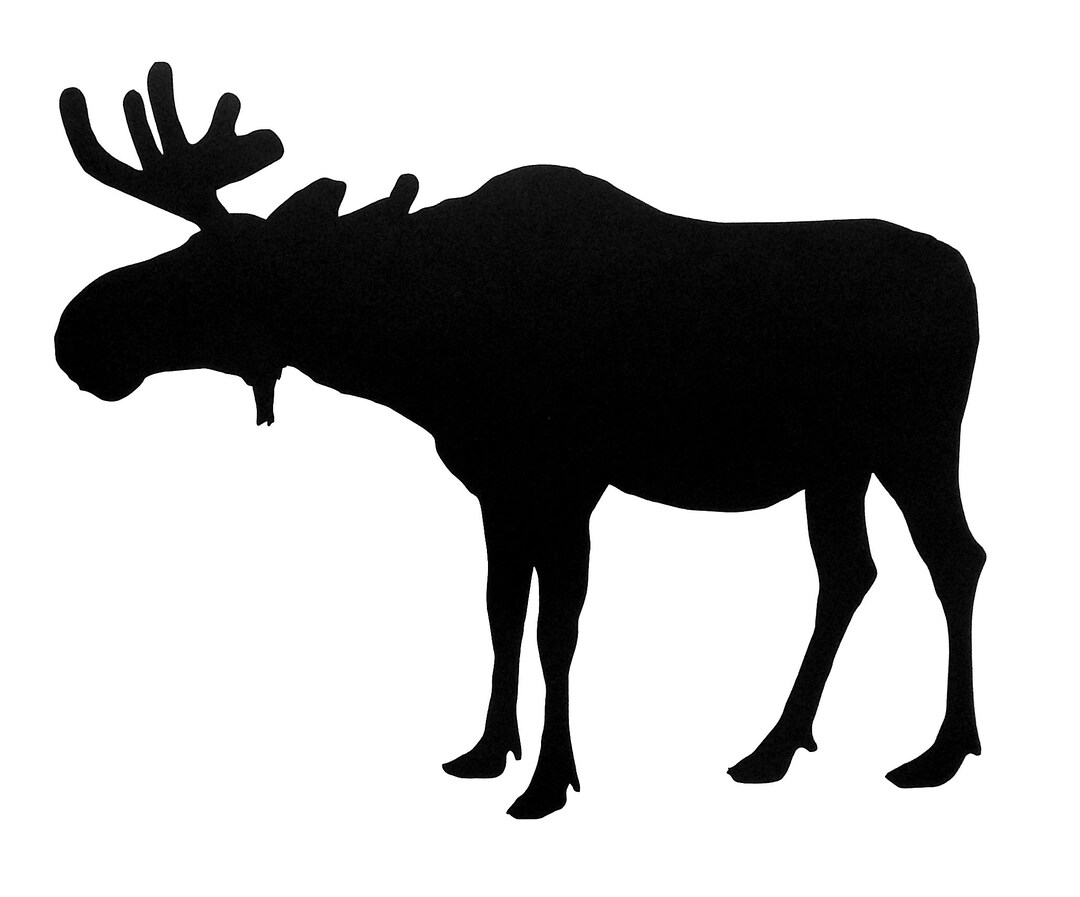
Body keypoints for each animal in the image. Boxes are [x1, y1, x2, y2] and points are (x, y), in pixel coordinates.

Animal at [55, 63, 985, 818]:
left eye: (222, 261)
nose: (77, 331)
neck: (422, 348)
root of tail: (967, 276)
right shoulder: (498, 484)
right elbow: (501, 612)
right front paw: (486, 750)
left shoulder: (569, 482)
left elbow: (556, 632)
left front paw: (548, 781)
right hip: (837, 464)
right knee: (850, 573)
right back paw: (774, 746)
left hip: (916, 441)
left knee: (955, 557)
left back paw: (942, 751)